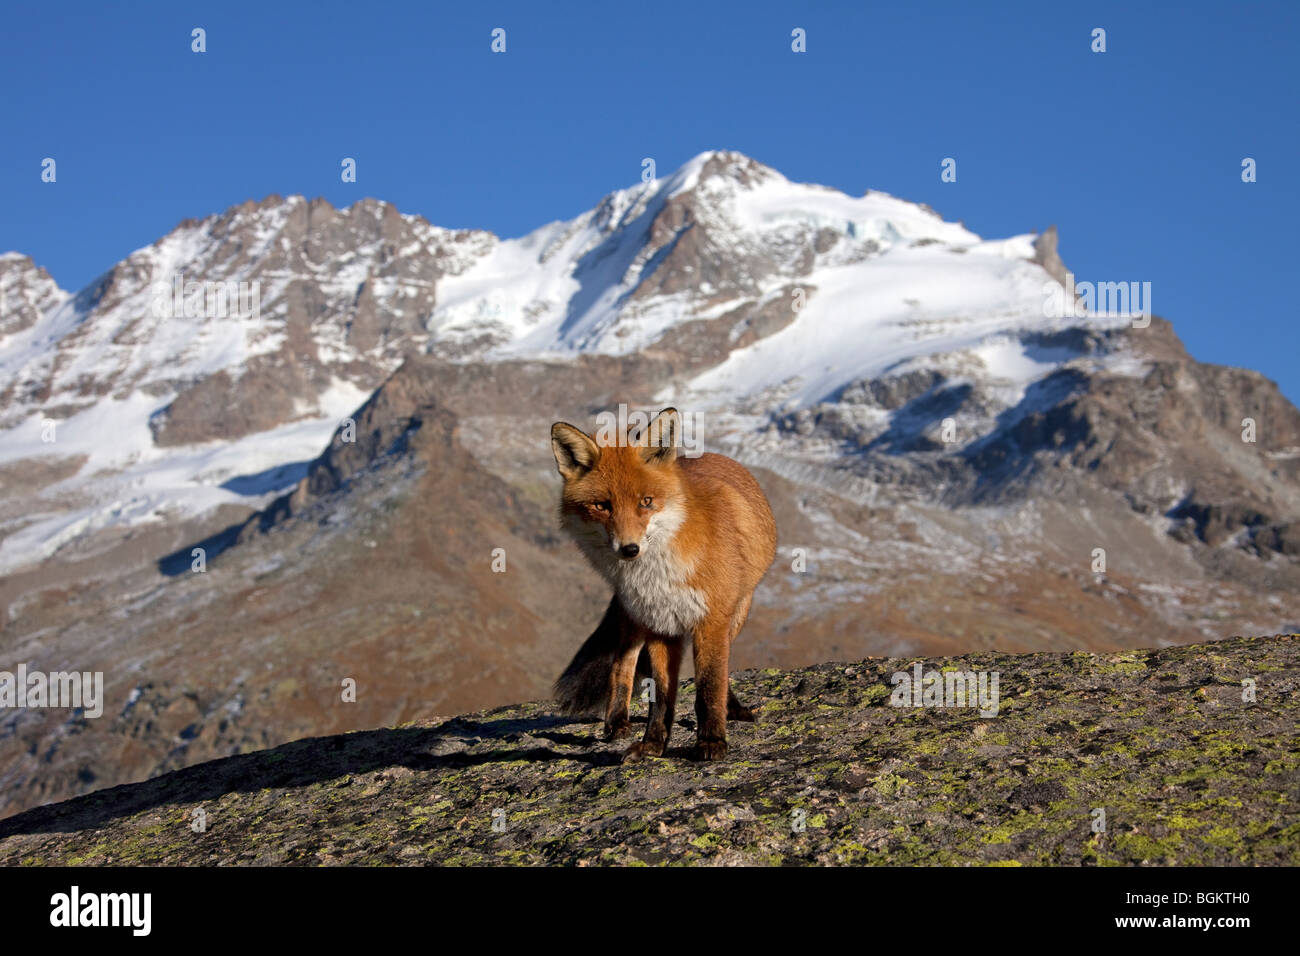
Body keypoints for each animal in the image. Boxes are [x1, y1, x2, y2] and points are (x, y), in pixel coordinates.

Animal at [549, 407, 777, 762]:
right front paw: (654, 743)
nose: (629, 549)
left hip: (737, 612)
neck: (659, 576)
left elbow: (710, 684)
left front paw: (711, 741)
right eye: (602, 506)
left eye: (646, 501)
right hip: (635, 617)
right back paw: (616, 722)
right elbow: (661, 695)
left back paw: (732, 708)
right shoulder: (660, 625)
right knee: (622, 660)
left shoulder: (711, 620)